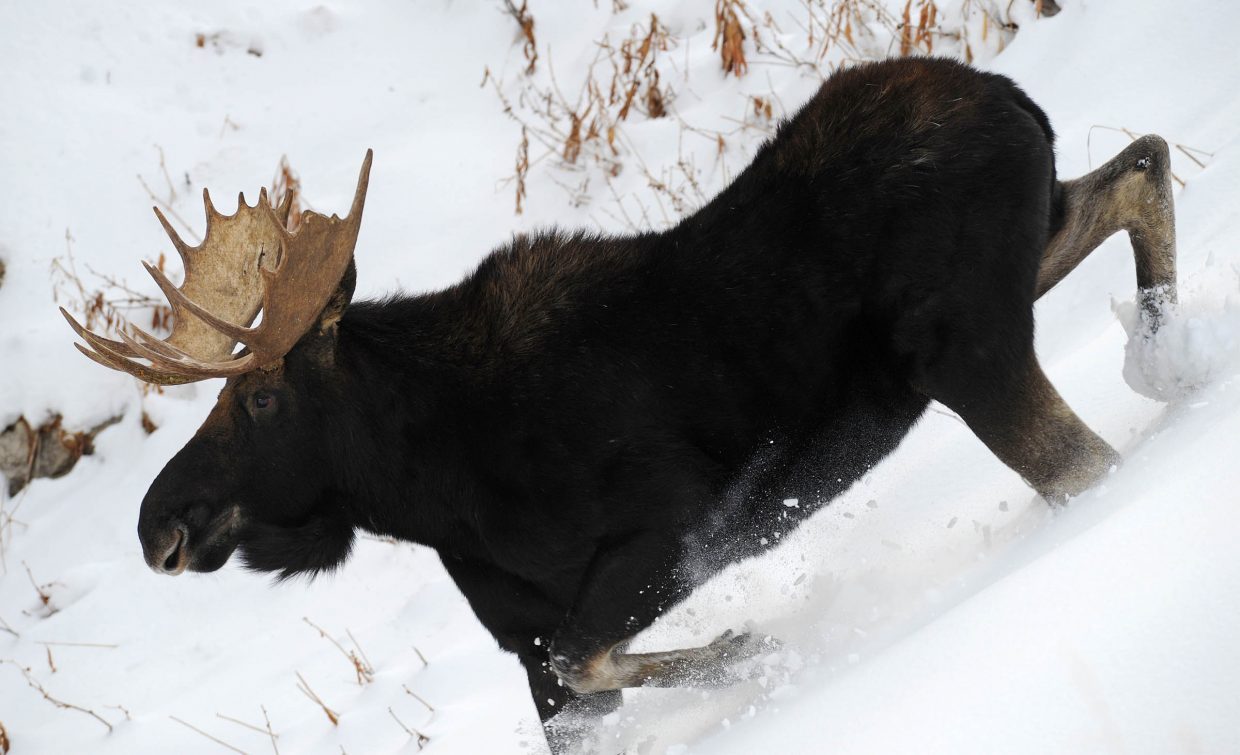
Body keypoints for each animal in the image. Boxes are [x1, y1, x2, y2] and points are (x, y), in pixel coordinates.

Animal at [64, 58, 1176, 752]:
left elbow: (598, 653)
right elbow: (577, 687)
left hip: (964, 348)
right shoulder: (524, 647)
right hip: (1012, 274)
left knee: (1085, 455)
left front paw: (756, 645)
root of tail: (1013, 99)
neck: (430, 485)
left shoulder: (670, 527)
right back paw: (1169, 357)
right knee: (1141, 161)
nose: (158, 521)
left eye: (257, 396)